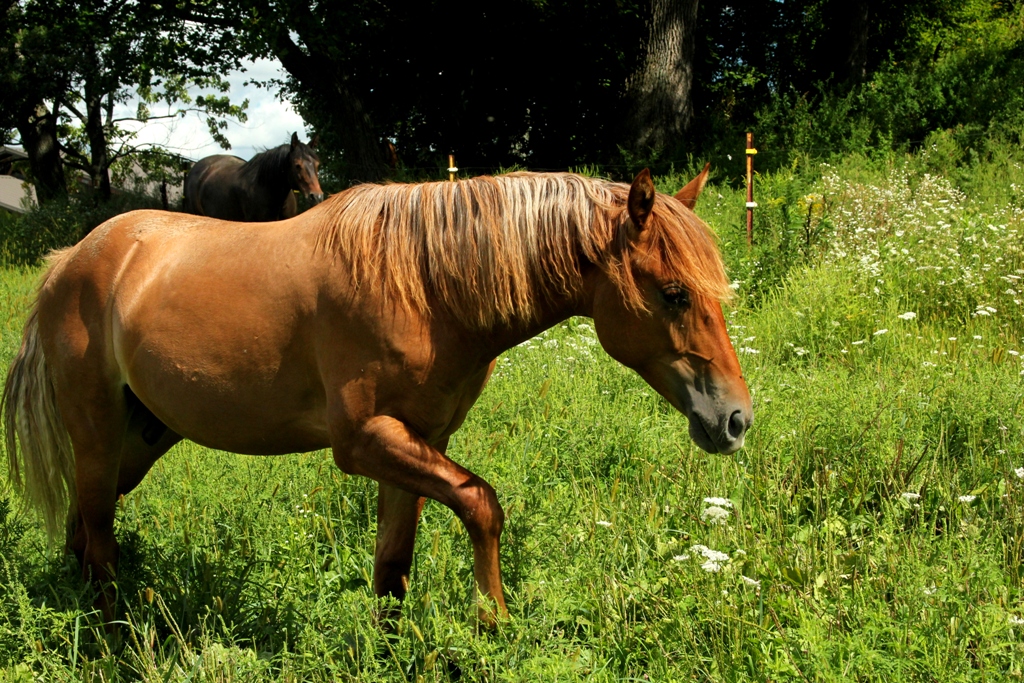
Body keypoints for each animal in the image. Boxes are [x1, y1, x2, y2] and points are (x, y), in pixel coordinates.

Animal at [3, 167, 751, 624]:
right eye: (674, 293)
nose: (735, 419)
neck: (422, 283)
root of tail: (71, 260)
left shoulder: (420, 442)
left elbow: (393, 565)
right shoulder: (364, 441)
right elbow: (483, 504)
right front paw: (491, 618)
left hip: (140, 439)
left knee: (83, 529)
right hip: (99, 434)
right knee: (99, 542)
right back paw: (118, 638)